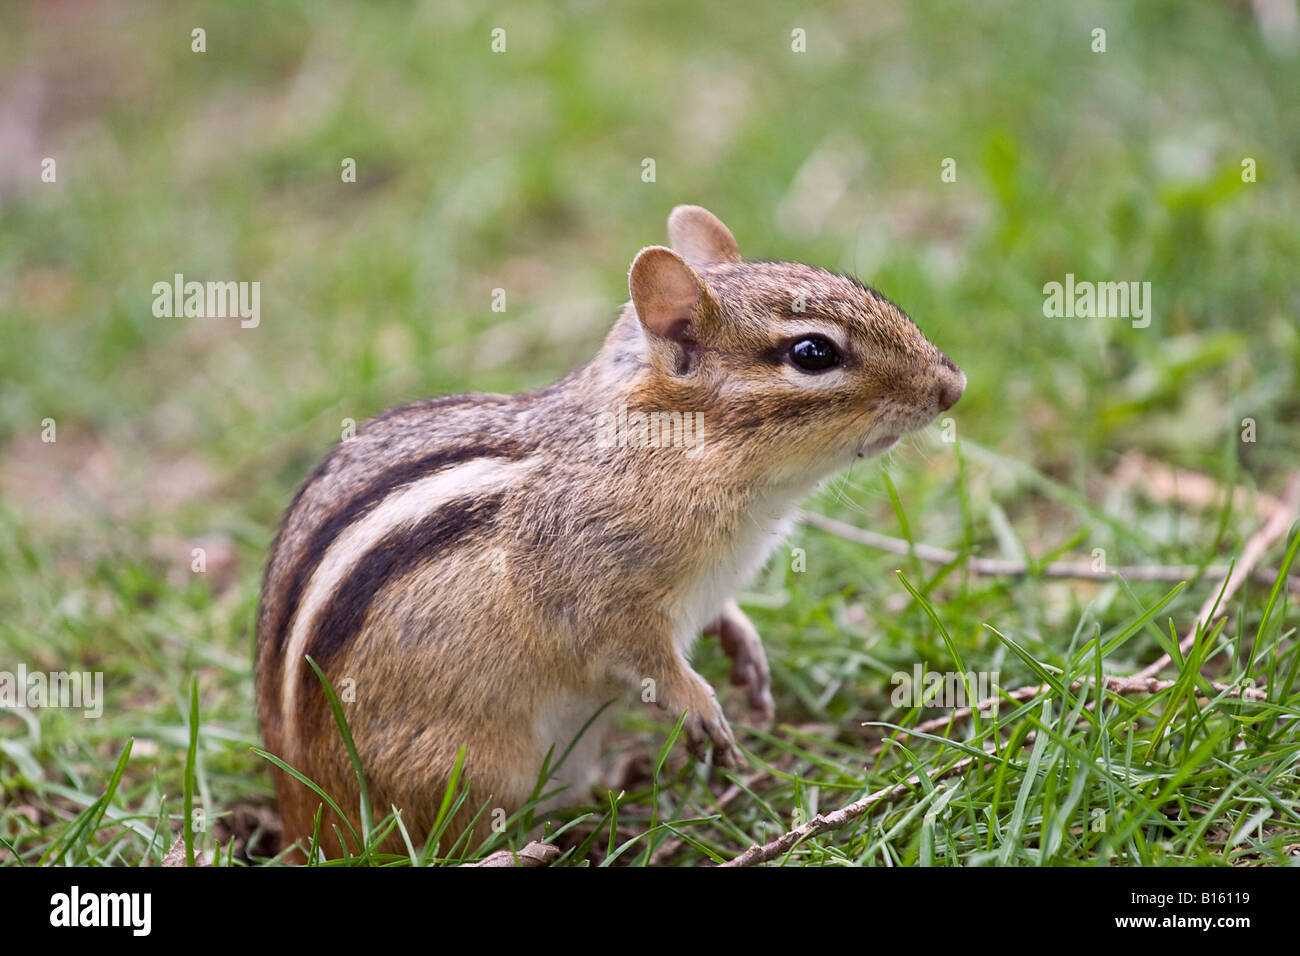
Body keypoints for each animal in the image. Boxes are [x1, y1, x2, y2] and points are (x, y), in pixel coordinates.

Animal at [255, 205, 965, 857]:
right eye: (813, 353)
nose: (952, 385)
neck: (668, 445)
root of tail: (301, 816)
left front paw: (746, 652)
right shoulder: (597, 593)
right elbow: (638, 654)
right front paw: (701, 706)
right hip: (469, 768)